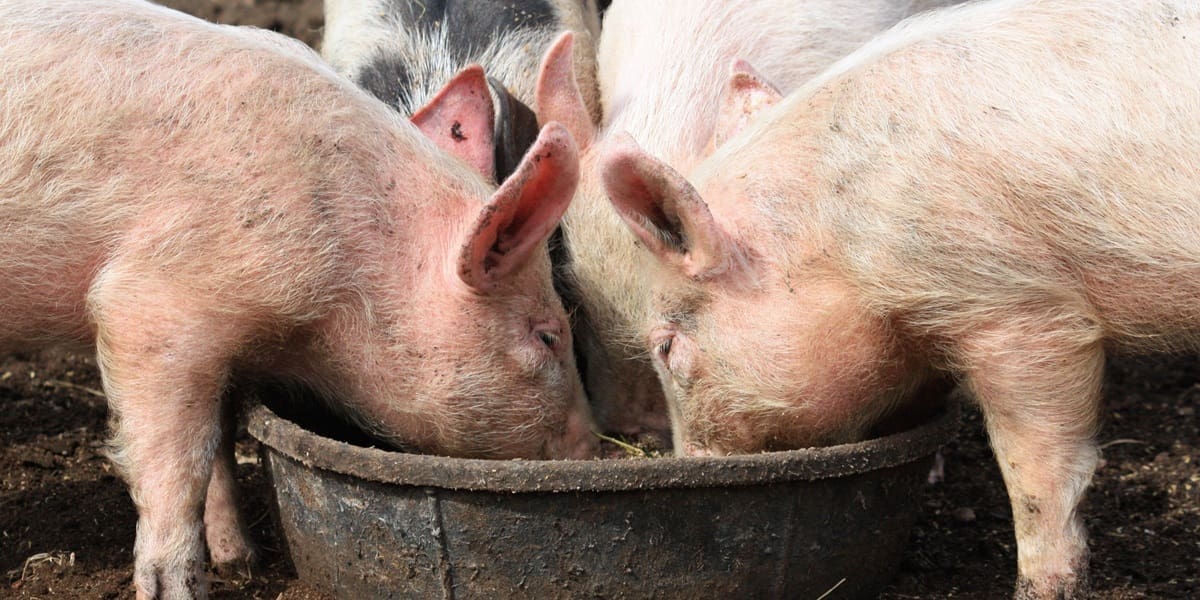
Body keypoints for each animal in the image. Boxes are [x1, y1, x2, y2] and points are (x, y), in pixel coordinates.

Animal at [597, 0, 1200, 597]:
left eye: (666, 347)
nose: (687, 459)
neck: (837, 240)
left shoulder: (1018, 307)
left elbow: (1035, 470)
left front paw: (1039, 588)